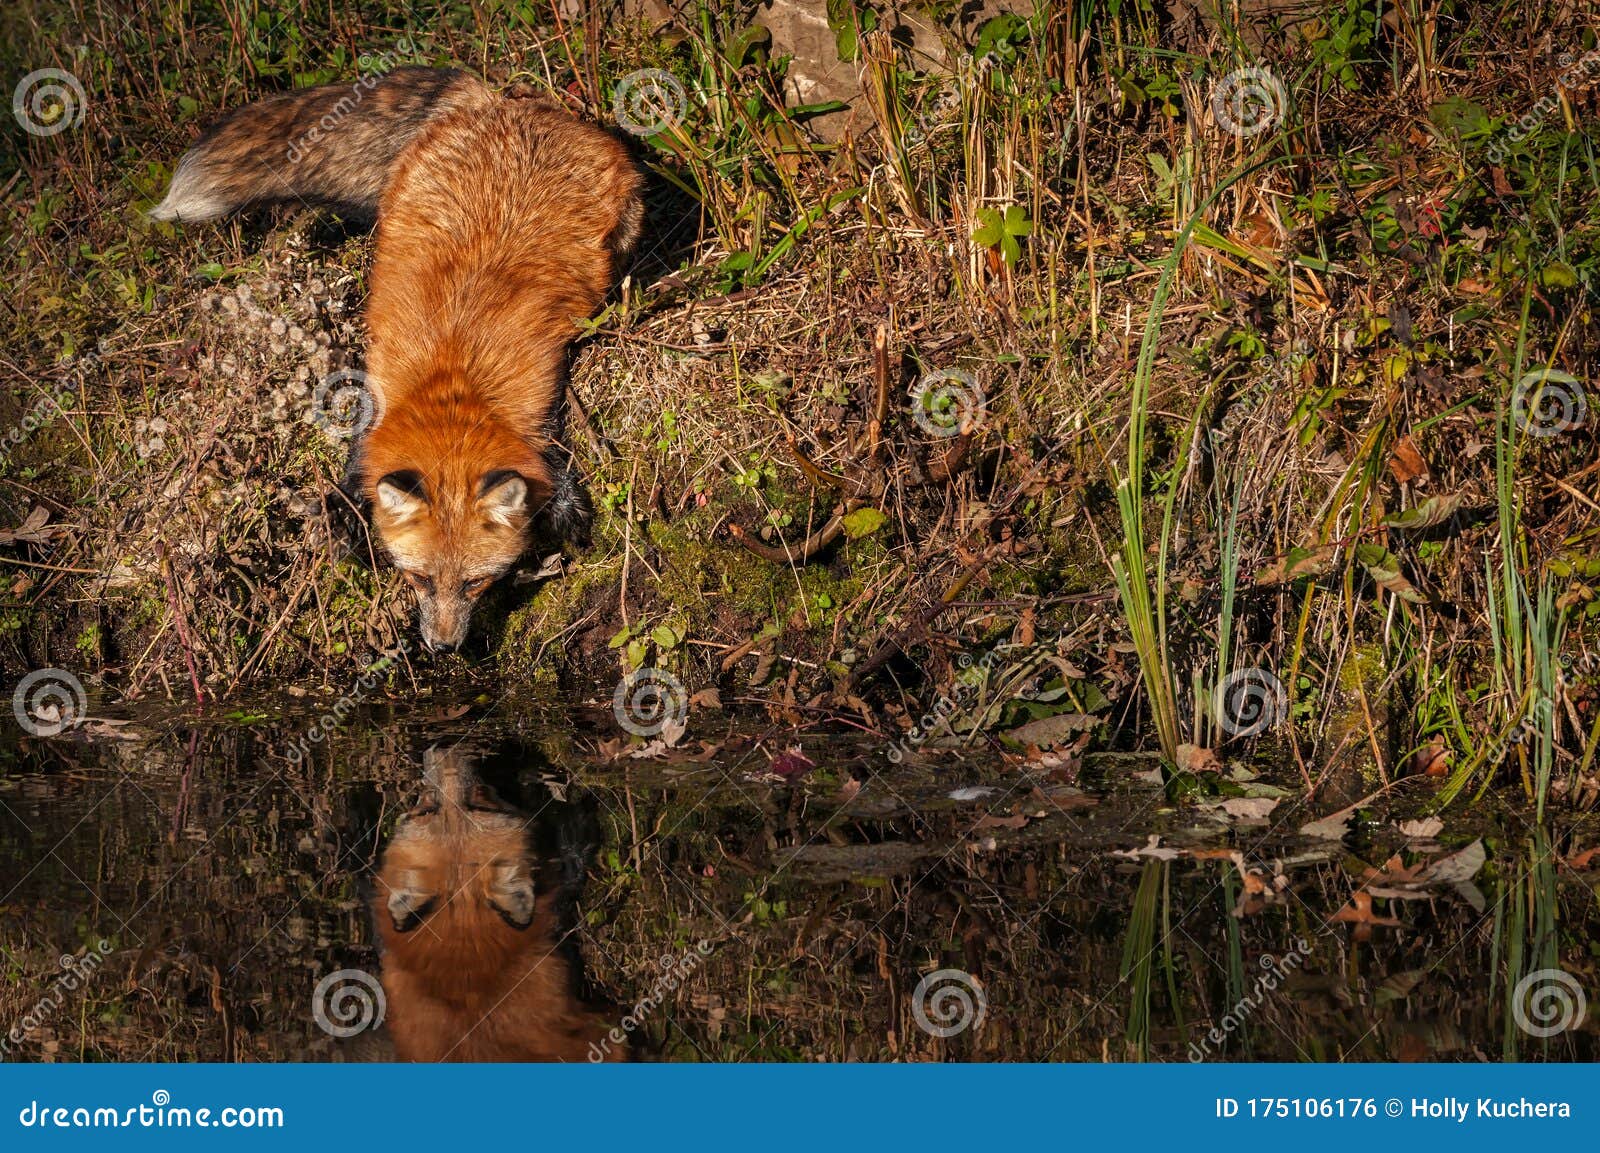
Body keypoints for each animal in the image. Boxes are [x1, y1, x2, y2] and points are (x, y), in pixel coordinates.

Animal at [151, 66, 643, 650]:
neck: (453, 373)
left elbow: (549, 453)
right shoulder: (380, 387)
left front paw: (568, 512)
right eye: (418, 578)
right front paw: (342, 524)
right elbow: (358, 461)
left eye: (476, 583)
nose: (443, 647)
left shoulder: (538, 387)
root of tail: (502, 103)